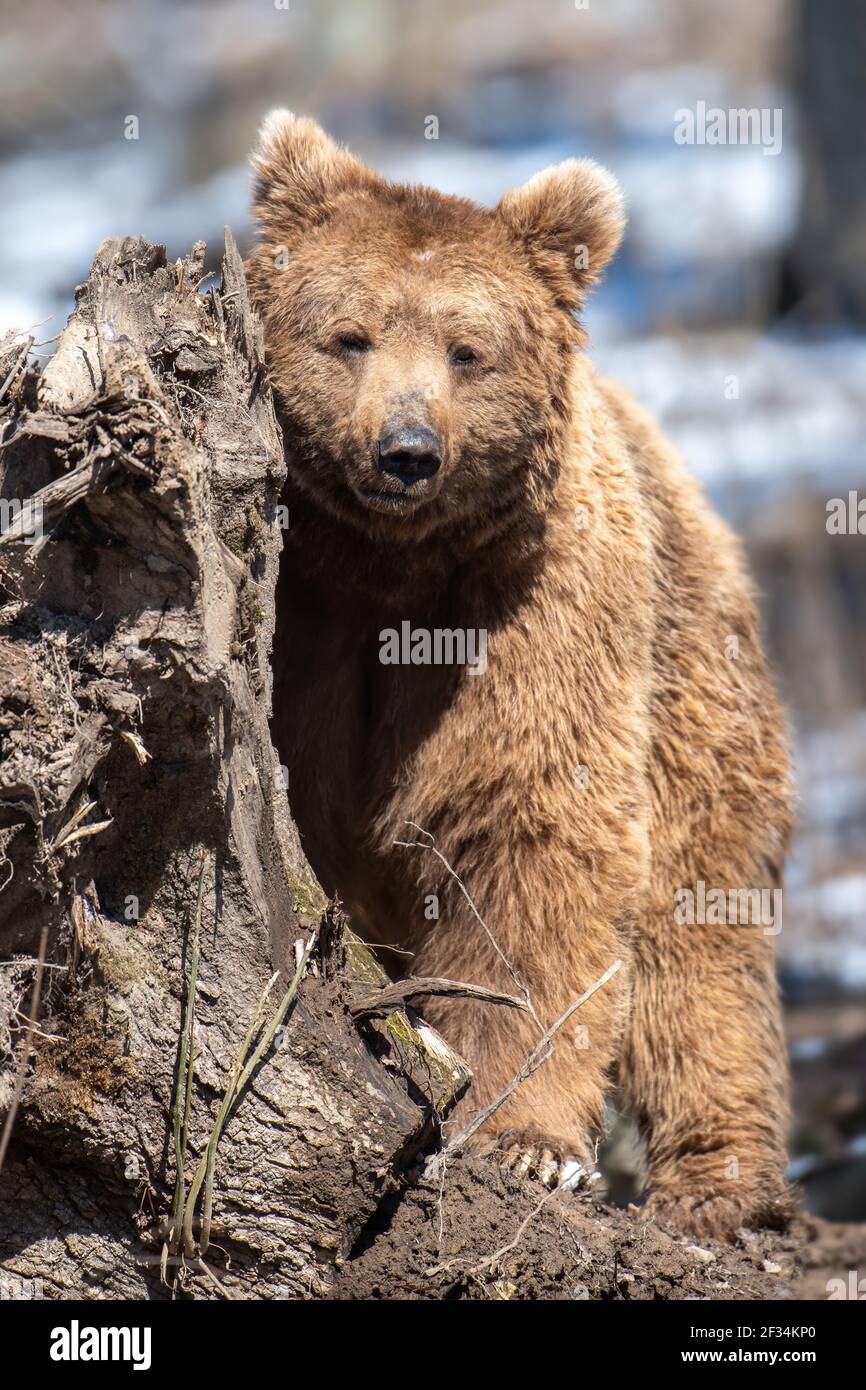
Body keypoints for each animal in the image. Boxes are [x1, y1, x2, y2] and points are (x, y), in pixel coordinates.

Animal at [246, 110, 794, 1240]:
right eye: (350, 335)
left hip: (688, 680)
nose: (406, 450)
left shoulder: (528, 618)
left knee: (697, 946)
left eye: (467, 350)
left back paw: (719, 1186)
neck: (387, 567)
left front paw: (524, 1139)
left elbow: (526, 845)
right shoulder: (308, 624)